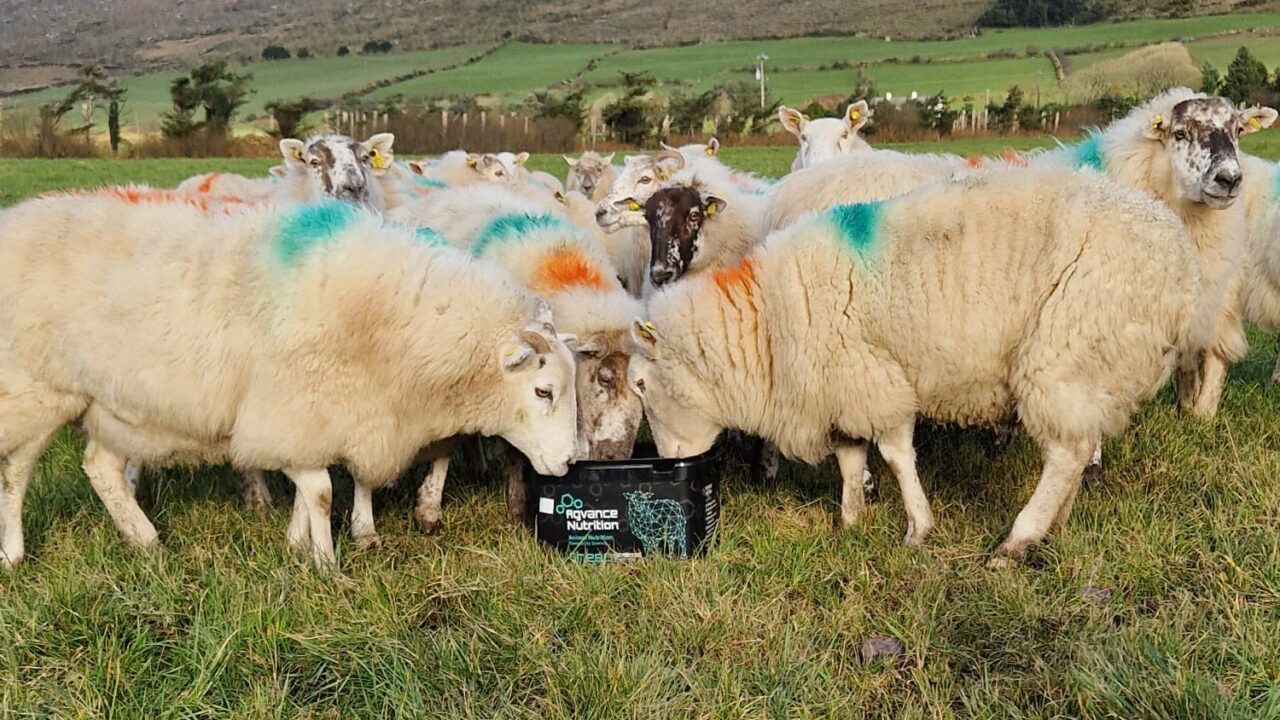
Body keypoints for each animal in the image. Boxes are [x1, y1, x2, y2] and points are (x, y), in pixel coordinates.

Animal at [0, 193, 579, 567]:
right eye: (543, 390)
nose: (568, 462)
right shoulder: (290, 409)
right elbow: (321, 491)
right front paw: (324, 563)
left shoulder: (316, 416)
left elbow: (313, 487)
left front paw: (298, 544)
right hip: (35, 392)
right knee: (17, 474)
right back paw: (14, 554)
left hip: (111, 406)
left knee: (100, 468)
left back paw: (146, 542)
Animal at [628, 167, 1200, 565]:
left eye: (640, 385)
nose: (666, 466)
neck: (762, 322)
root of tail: (1180, 261)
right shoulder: (843, 385)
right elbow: (851, 457)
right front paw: (850, 520)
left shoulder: (870, 377)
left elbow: (896, 455)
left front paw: (917, 530)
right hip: (1088, 364)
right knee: (1077, 451)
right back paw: (1054, 526)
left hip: (1064, 350)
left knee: (1068, 452)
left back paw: (1017, 541)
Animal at [1034, 88, 1276, 418]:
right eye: (1180, 133)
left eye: (1238, 130)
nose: (1229, 179)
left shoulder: (1214, 300)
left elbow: (1210, 358)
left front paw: (1200, 413)